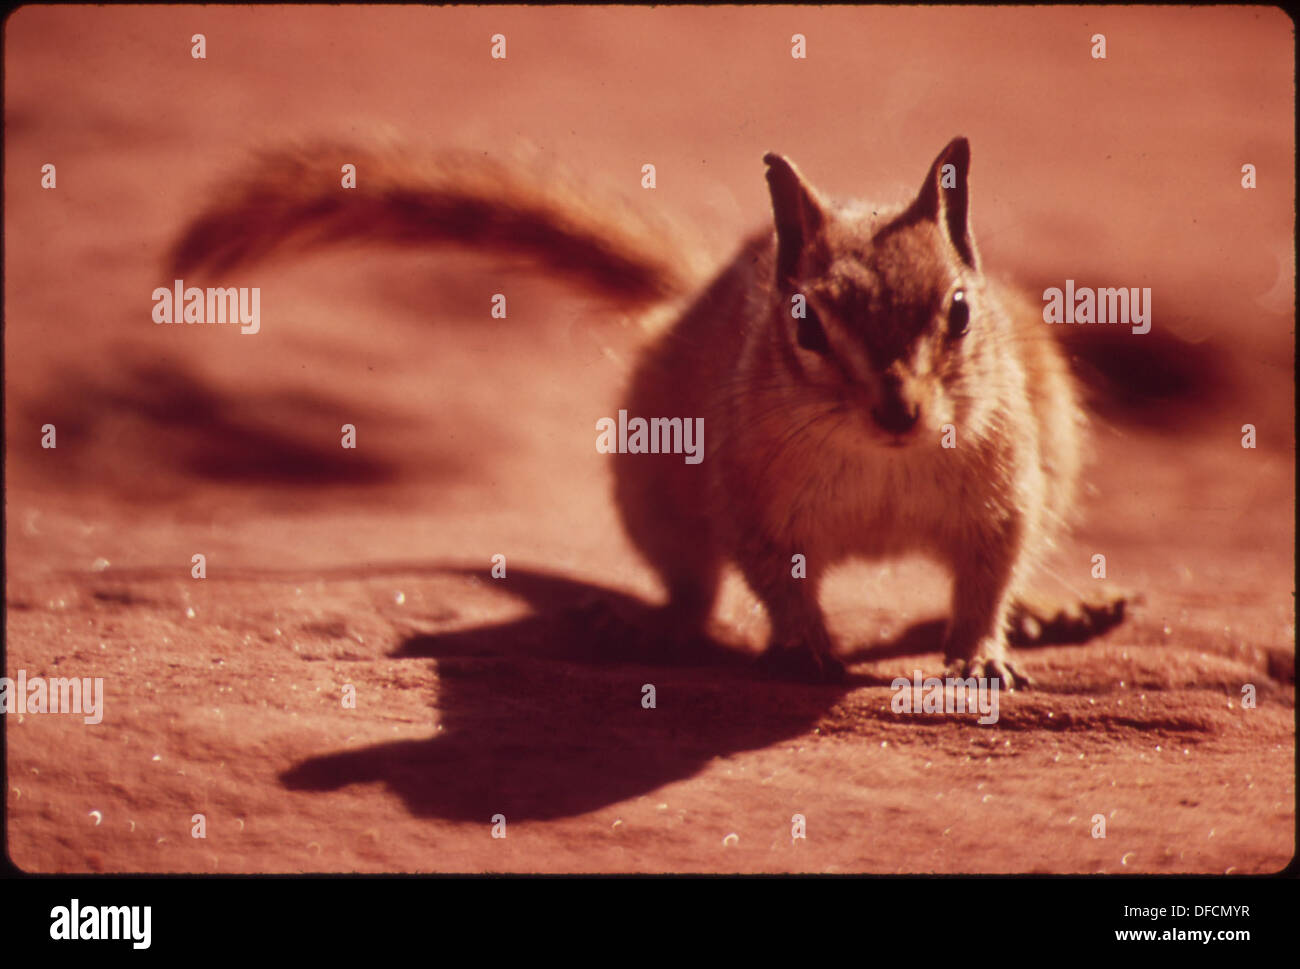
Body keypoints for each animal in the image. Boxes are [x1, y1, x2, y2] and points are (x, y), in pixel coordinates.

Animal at [169, 136, 1126, 688]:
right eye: (806, 323)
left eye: (960, 311)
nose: (900, 410)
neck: (881, 458)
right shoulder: (752, 505)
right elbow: (777, 580)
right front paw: (805, 646)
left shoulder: (1005, 493)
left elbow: (987, 573)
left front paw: (982, 651)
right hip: (653, 492)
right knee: (693, 595)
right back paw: (644, 625)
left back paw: (1050, 612)